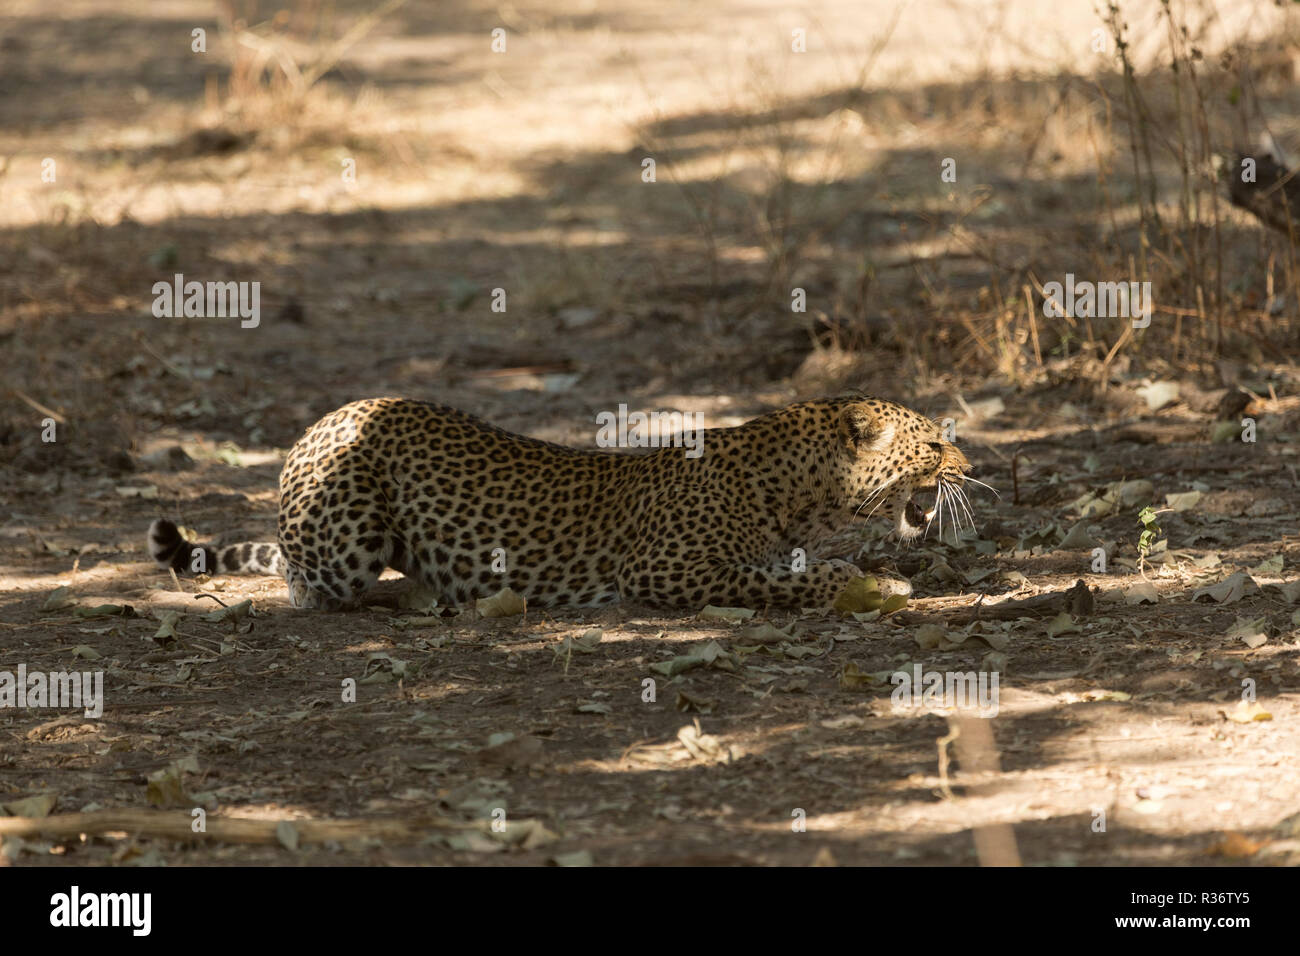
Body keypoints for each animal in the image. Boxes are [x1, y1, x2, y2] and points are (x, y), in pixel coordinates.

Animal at [147, 395, 973, 610]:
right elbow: (786, 580)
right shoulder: (664, 570)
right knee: (303, 585)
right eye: (934, 444)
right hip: (345, 543)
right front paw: (873, 582)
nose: (971, 465)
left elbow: (792, 568)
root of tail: (323, 420)